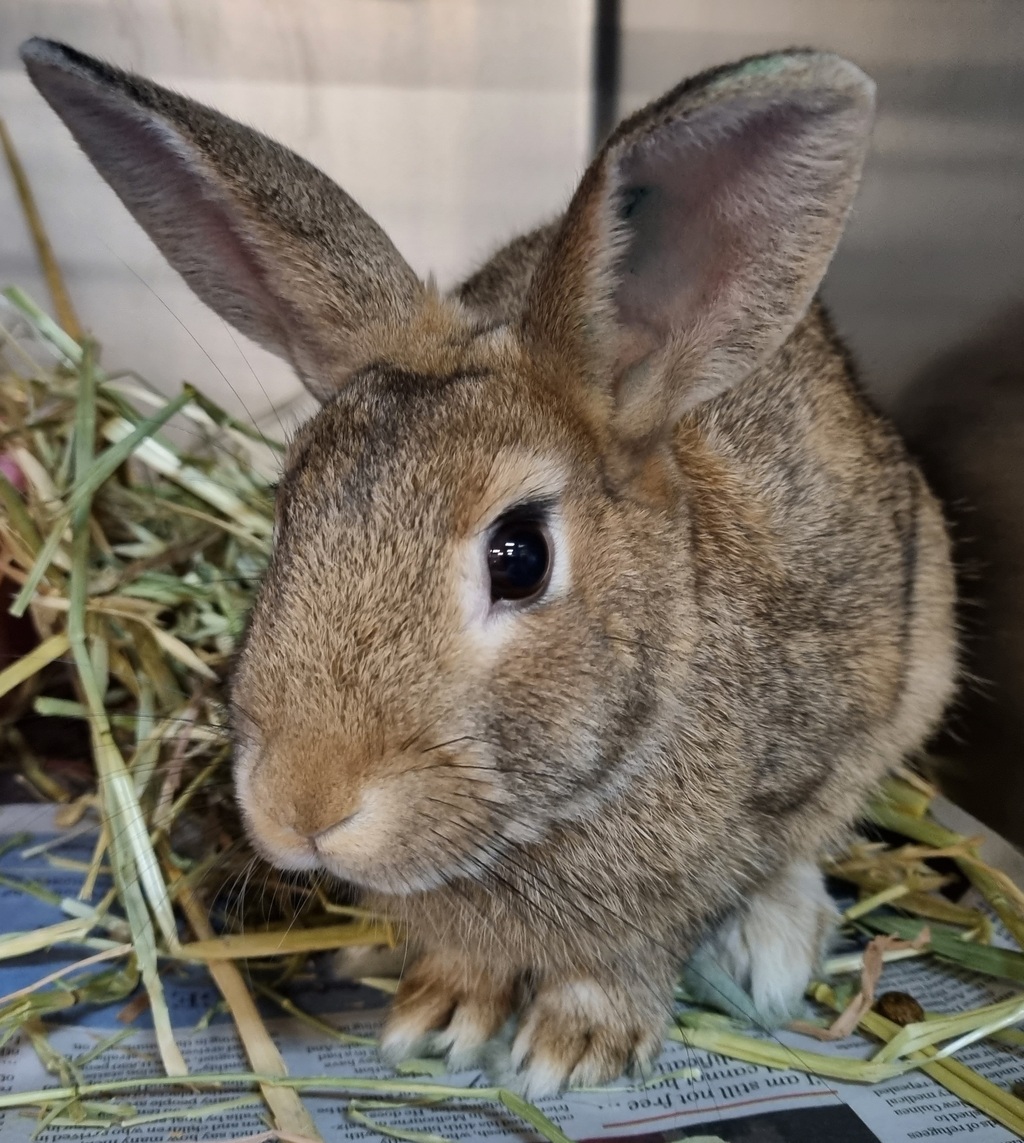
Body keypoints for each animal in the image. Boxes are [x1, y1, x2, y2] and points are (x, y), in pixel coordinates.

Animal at [23, 40, 957, 1096]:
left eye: (520, 556)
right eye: (286, 511)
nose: (302, 808)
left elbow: (638, 947)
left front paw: (573, 1045)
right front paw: (443, 1010)